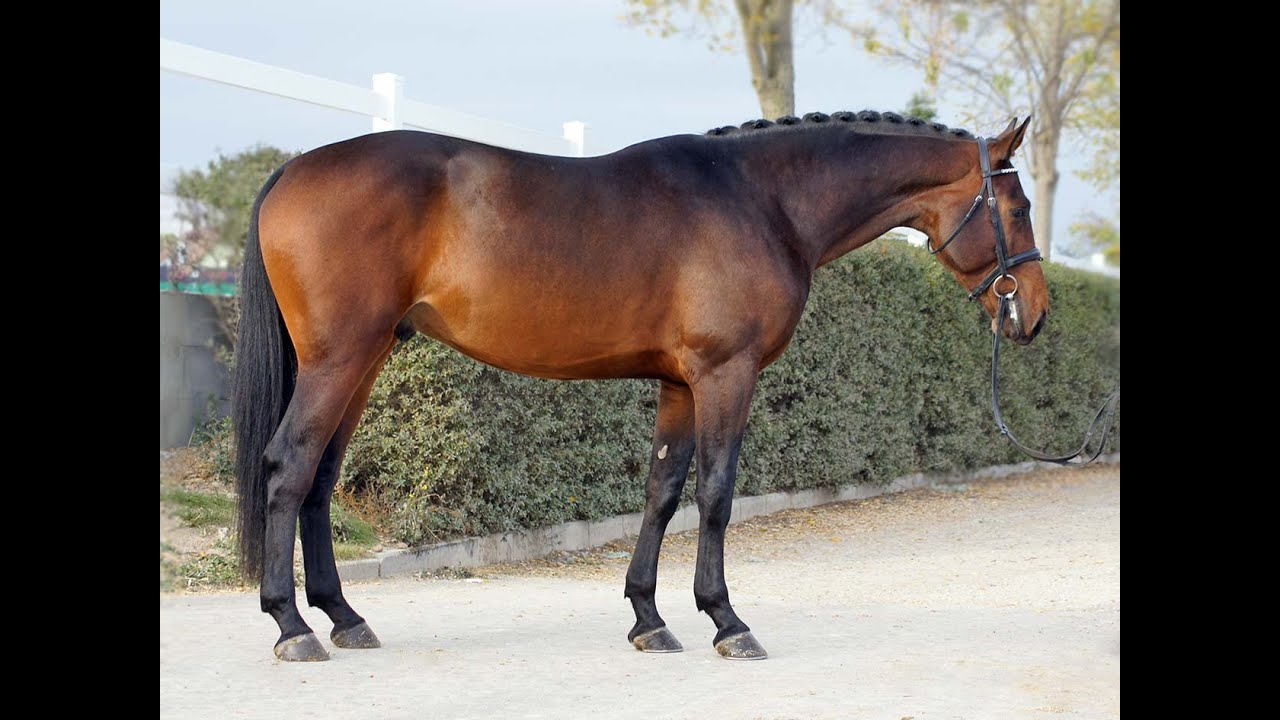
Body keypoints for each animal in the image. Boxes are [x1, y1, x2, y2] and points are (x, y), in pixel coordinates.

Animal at [233, 110, 1041, 662]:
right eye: (1019, 208)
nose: (1032, 312)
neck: (763, 199)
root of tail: (294, 170)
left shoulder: (679, 383)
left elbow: (663, 491)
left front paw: (649, 620)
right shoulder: (725, 374)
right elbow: (715, 494)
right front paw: (727, 622)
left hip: (364, 360)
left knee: (320, 477)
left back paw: (344, 618)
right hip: (339, 359)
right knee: (287, 466)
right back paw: (292, 626)